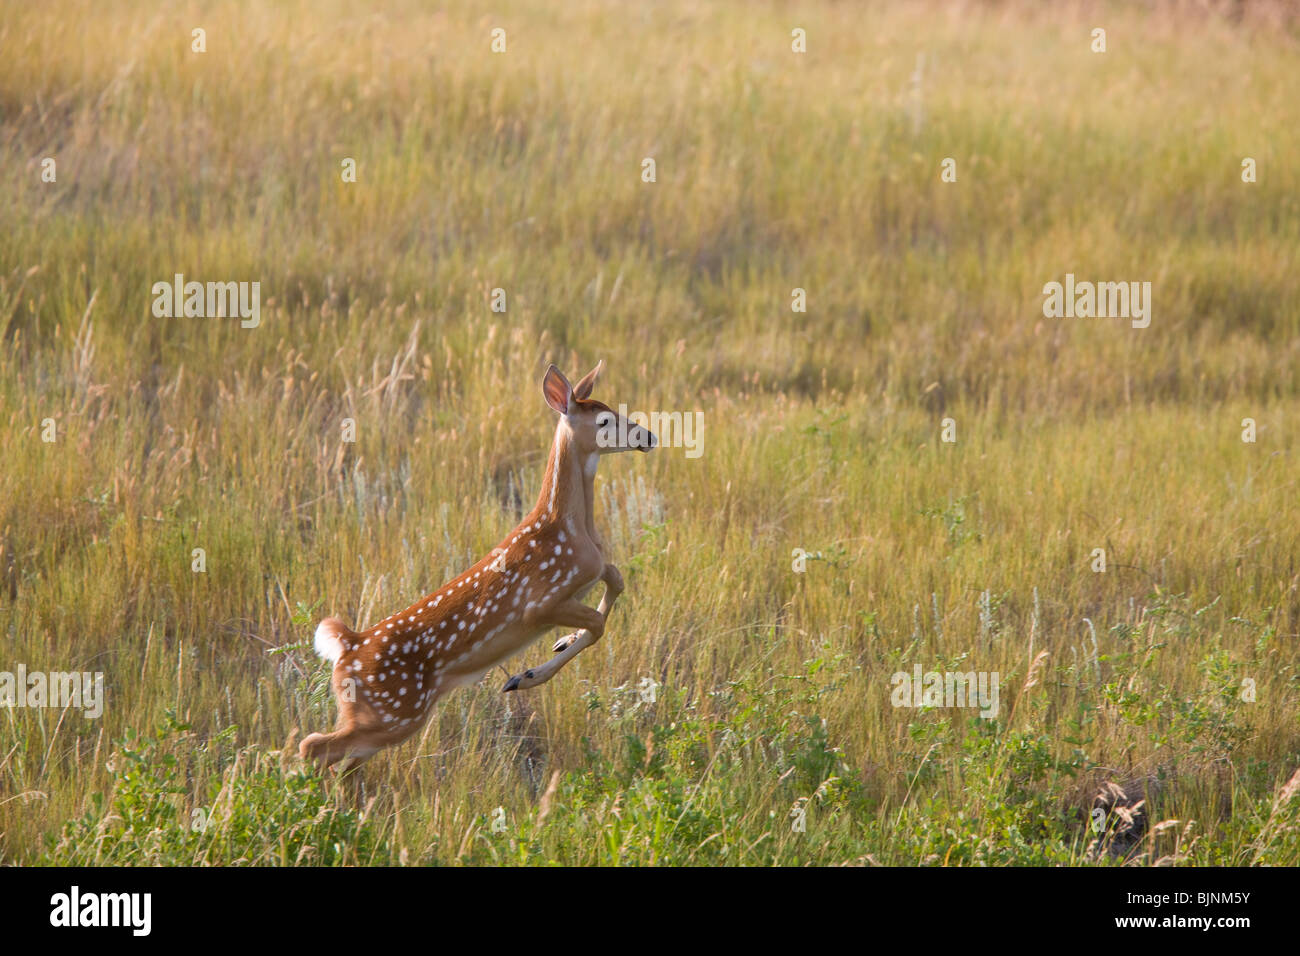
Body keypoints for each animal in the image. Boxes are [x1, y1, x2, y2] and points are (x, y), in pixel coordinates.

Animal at [299, 361, 656, 769]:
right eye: (603, 420)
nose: (648, 435)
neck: (569, 526)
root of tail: (348, 645)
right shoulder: (539, 604)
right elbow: (597, 624)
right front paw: (524, 676)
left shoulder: (591, 572)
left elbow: (616, 580)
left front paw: (562, 642)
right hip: (395, 711)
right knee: (312, 746)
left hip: (377, 718)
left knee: (339, 756)